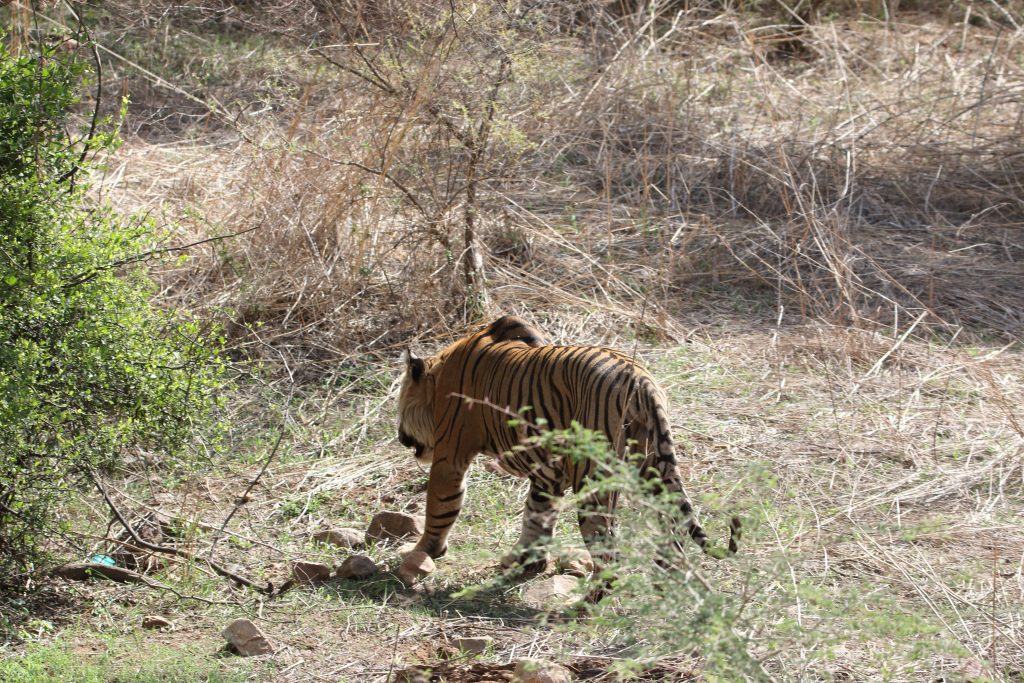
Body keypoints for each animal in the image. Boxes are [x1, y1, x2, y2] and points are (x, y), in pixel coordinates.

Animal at [397, 315, 740, 588]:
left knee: (610, 556)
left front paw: (424, 550)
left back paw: (585, 606)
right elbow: (537, 518)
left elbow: (440, 507)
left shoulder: (450, 456)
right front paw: (527, 561)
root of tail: (641, 381)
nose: (400, 437)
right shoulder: (547, 475)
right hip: (655, 470)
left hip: (594, 485)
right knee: (673, 540)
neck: (440, 374)